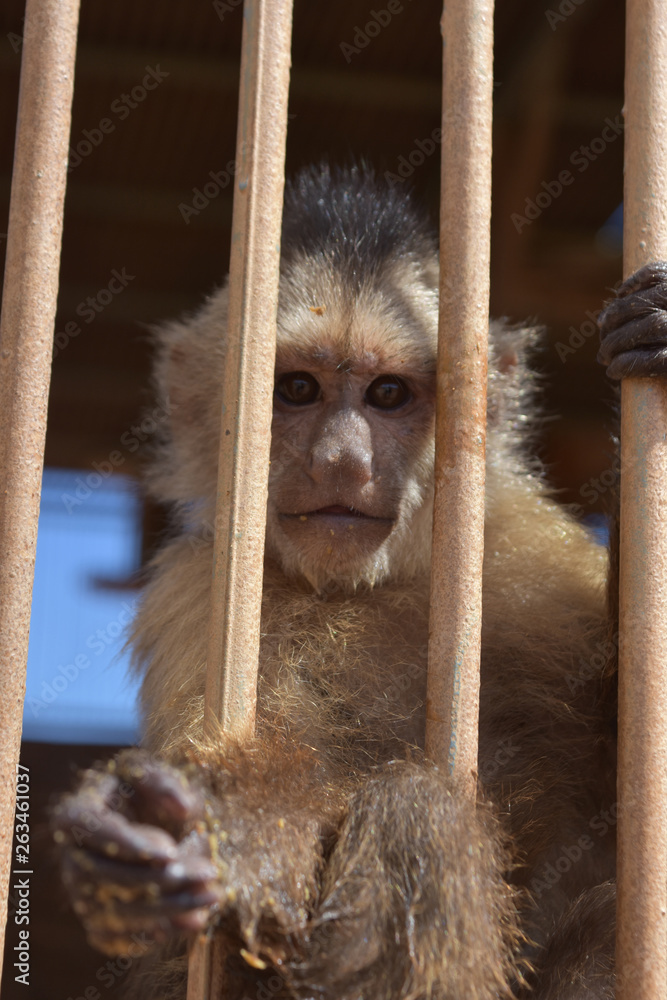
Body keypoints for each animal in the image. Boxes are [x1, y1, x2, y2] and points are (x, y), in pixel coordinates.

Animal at [52, 164, 666, 1000]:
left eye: (387, 395)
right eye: (296, 390)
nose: (342, 460)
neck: (372, 586)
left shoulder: (522, 546)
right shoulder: (194, 590)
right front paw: (193, 829)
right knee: (420, 809)